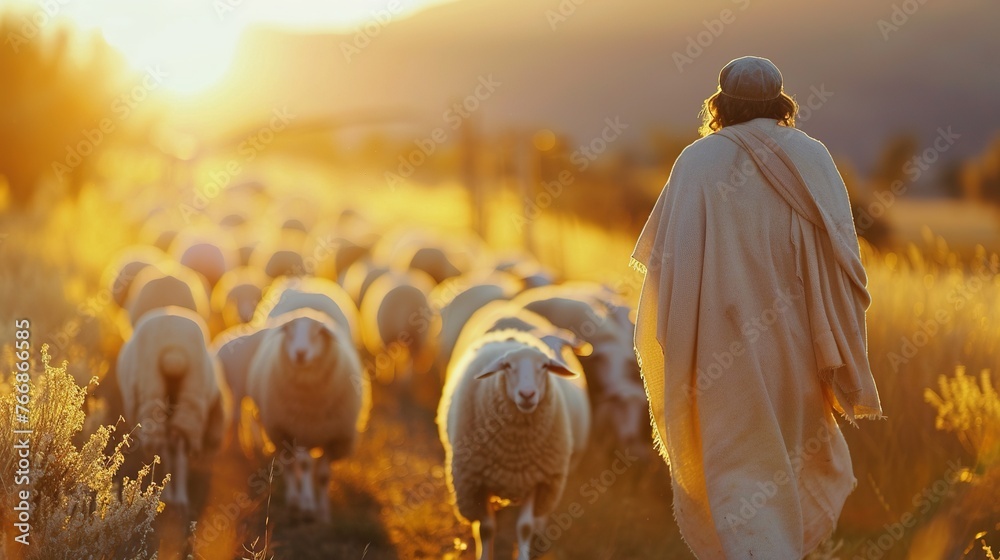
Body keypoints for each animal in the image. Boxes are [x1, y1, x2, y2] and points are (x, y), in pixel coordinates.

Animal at [116, 306, 229, 514]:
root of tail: (173, 350)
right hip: (185, 394)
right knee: (176, 442)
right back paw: (176, 496)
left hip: (157, 392)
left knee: (167, 442)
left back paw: (171, 494)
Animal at [245, 306, 370, 522]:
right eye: (289, 330)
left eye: (319, 332)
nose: (300, 353)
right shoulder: (297, 430)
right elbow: (303, 466)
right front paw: (307, 506)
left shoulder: (333, 438)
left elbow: (323, 476)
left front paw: (323, 513)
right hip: (281, 435)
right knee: (290, 466)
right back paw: (295, 500)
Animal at [437, 329, 588, 560]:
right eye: (507, 366)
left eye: (544, 366)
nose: (527, 395)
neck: (515, 454)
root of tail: (512, 334)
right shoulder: (476, 483)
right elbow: (486, 528)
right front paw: (484, 554)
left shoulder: (537, 479)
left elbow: (525, 526)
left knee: (540, 516)